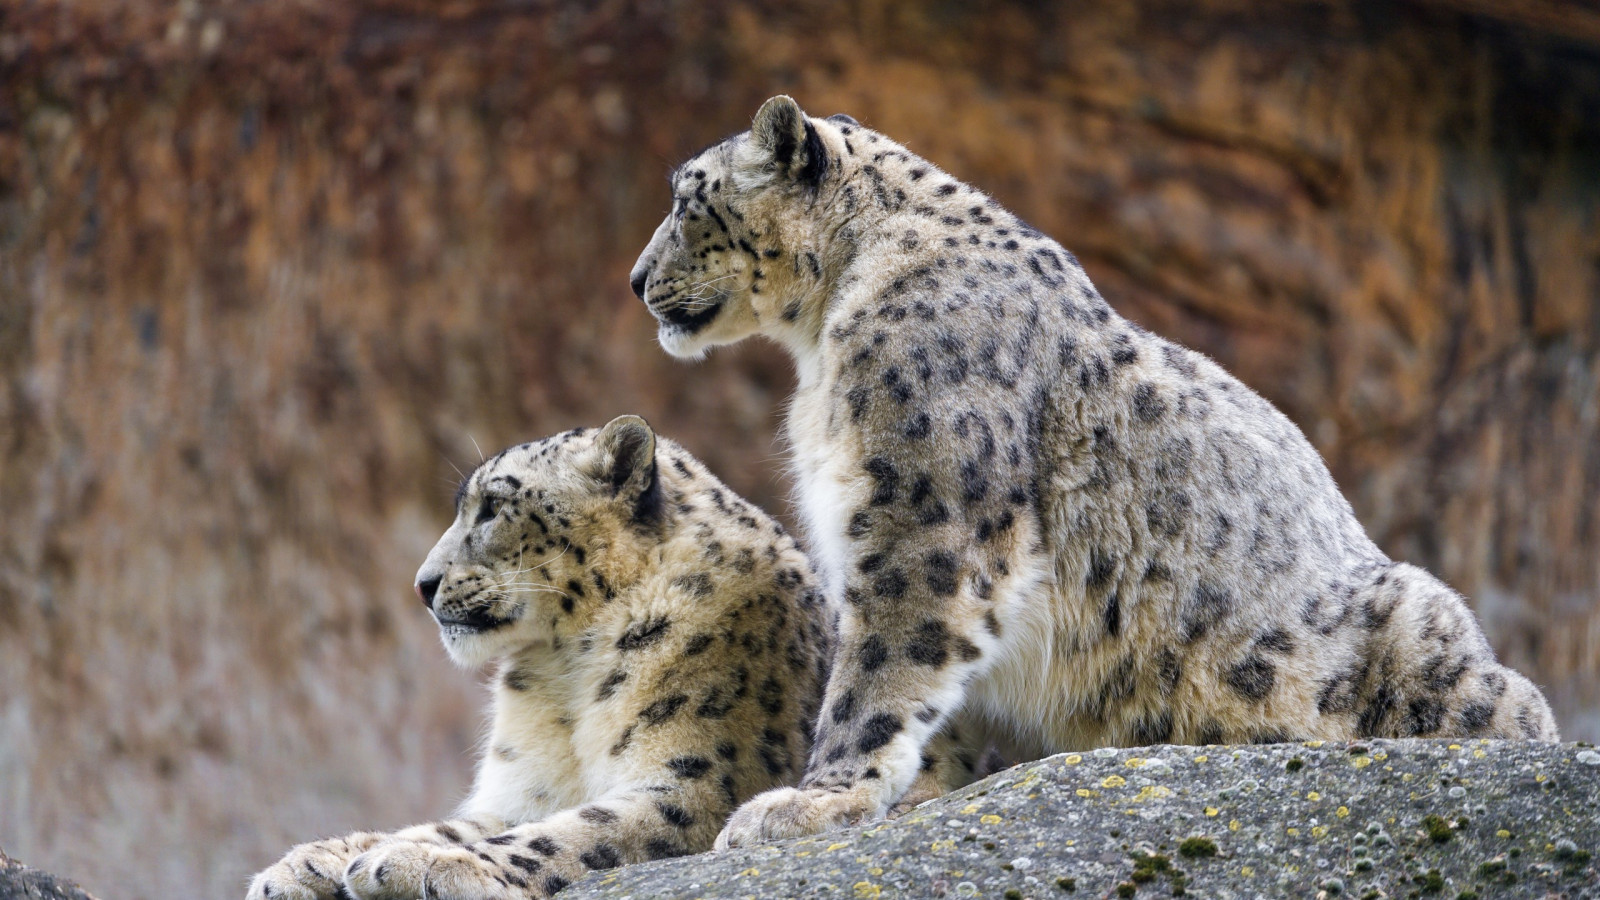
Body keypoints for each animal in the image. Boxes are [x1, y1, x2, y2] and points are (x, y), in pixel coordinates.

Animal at [246, 416, 834, 899]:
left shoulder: (695, 782)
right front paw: (311, 862)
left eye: (492, 507)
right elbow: (467, 824)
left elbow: (568, 833)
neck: (567, 674)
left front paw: (422, 862)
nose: (421, 585)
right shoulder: (526, 791)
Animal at [627, 95, 1560, 849]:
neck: (822, 339)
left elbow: (881, 672)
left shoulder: (920, 515)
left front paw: (809, 804)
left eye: (684, 198)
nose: (635, 280)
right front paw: (921, 790)